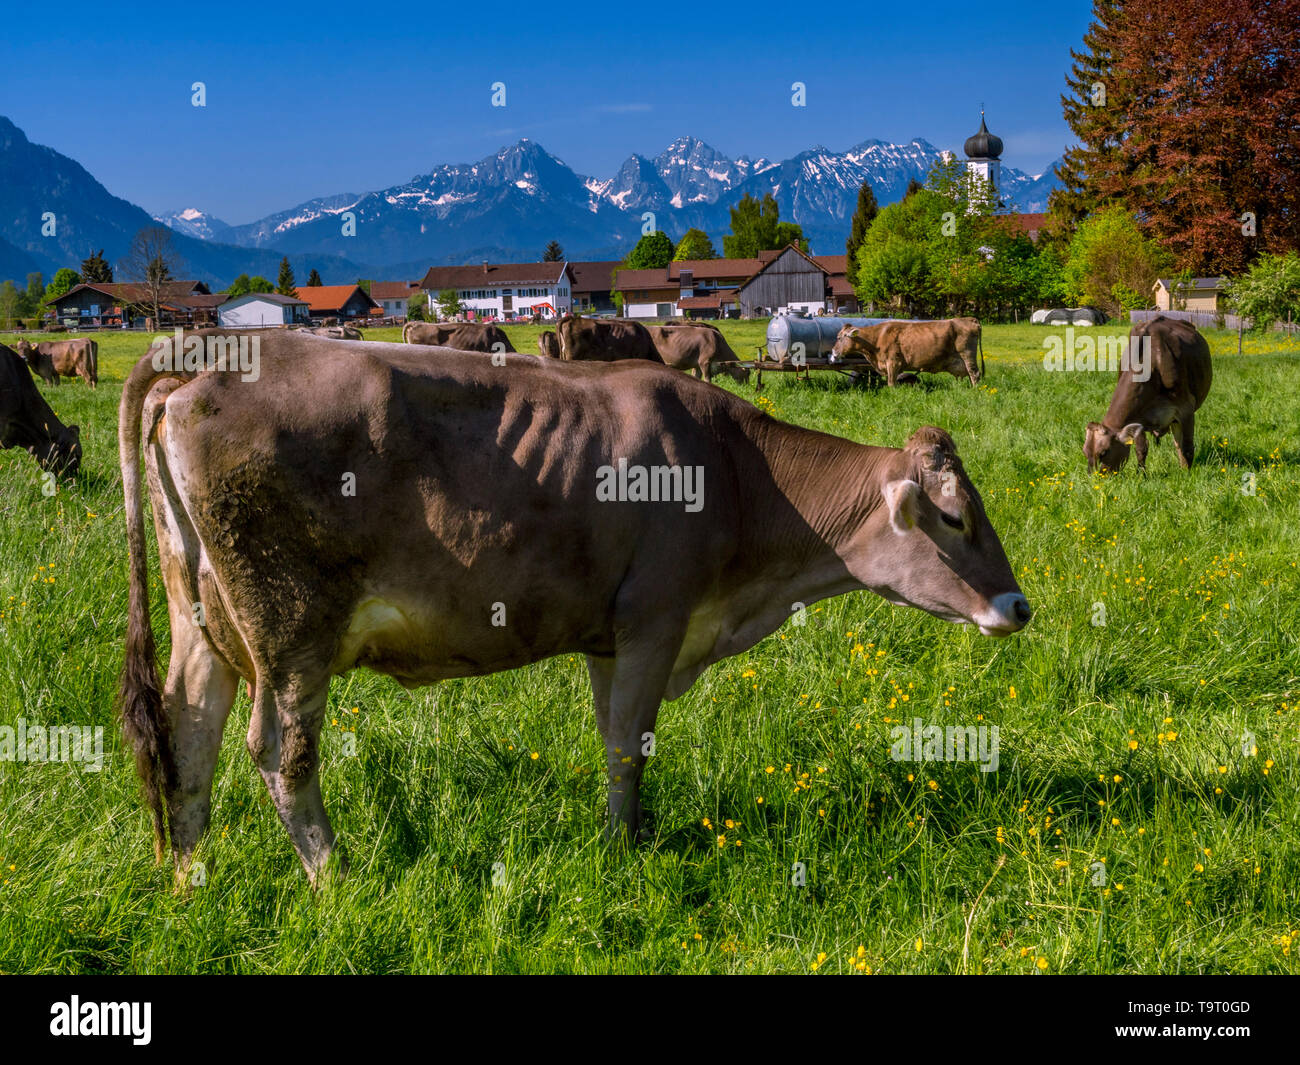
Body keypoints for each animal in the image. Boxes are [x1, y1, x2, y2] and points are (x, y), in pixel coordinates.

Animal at [117, 329, 1030, 885]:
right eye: (955, 518)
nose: (1018, 606)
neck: (740, 471)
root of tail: (208, 358)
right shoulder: (655, 621)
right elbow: (631, 744)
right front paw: (626, 850)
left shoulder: (606, 637)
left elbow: (611, 738)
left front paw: (622, 833)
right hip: (290, 629)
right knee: (281, 751)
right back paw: (335, 878)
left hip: (204, 622)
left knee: (187, 732)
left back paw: (189, 878)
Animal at [831, 318, 984, 386]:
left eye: (839, 338)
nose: (833, 352)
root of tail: (969, 319)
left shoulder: (893, 362)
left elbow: (891, 383)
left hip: (967, 354)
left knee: (974, 374)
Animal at [1084, 316, 1212, 473]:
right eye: (1085, 452)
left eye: (1103, 452)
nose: (1097, 478)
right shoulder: (1139, 418)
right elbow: (1141, 450)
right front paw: (1141, 475)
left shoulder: (1186, 409)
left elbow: (1187, 448)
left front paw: (1187, 474)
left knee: (1180, 444)